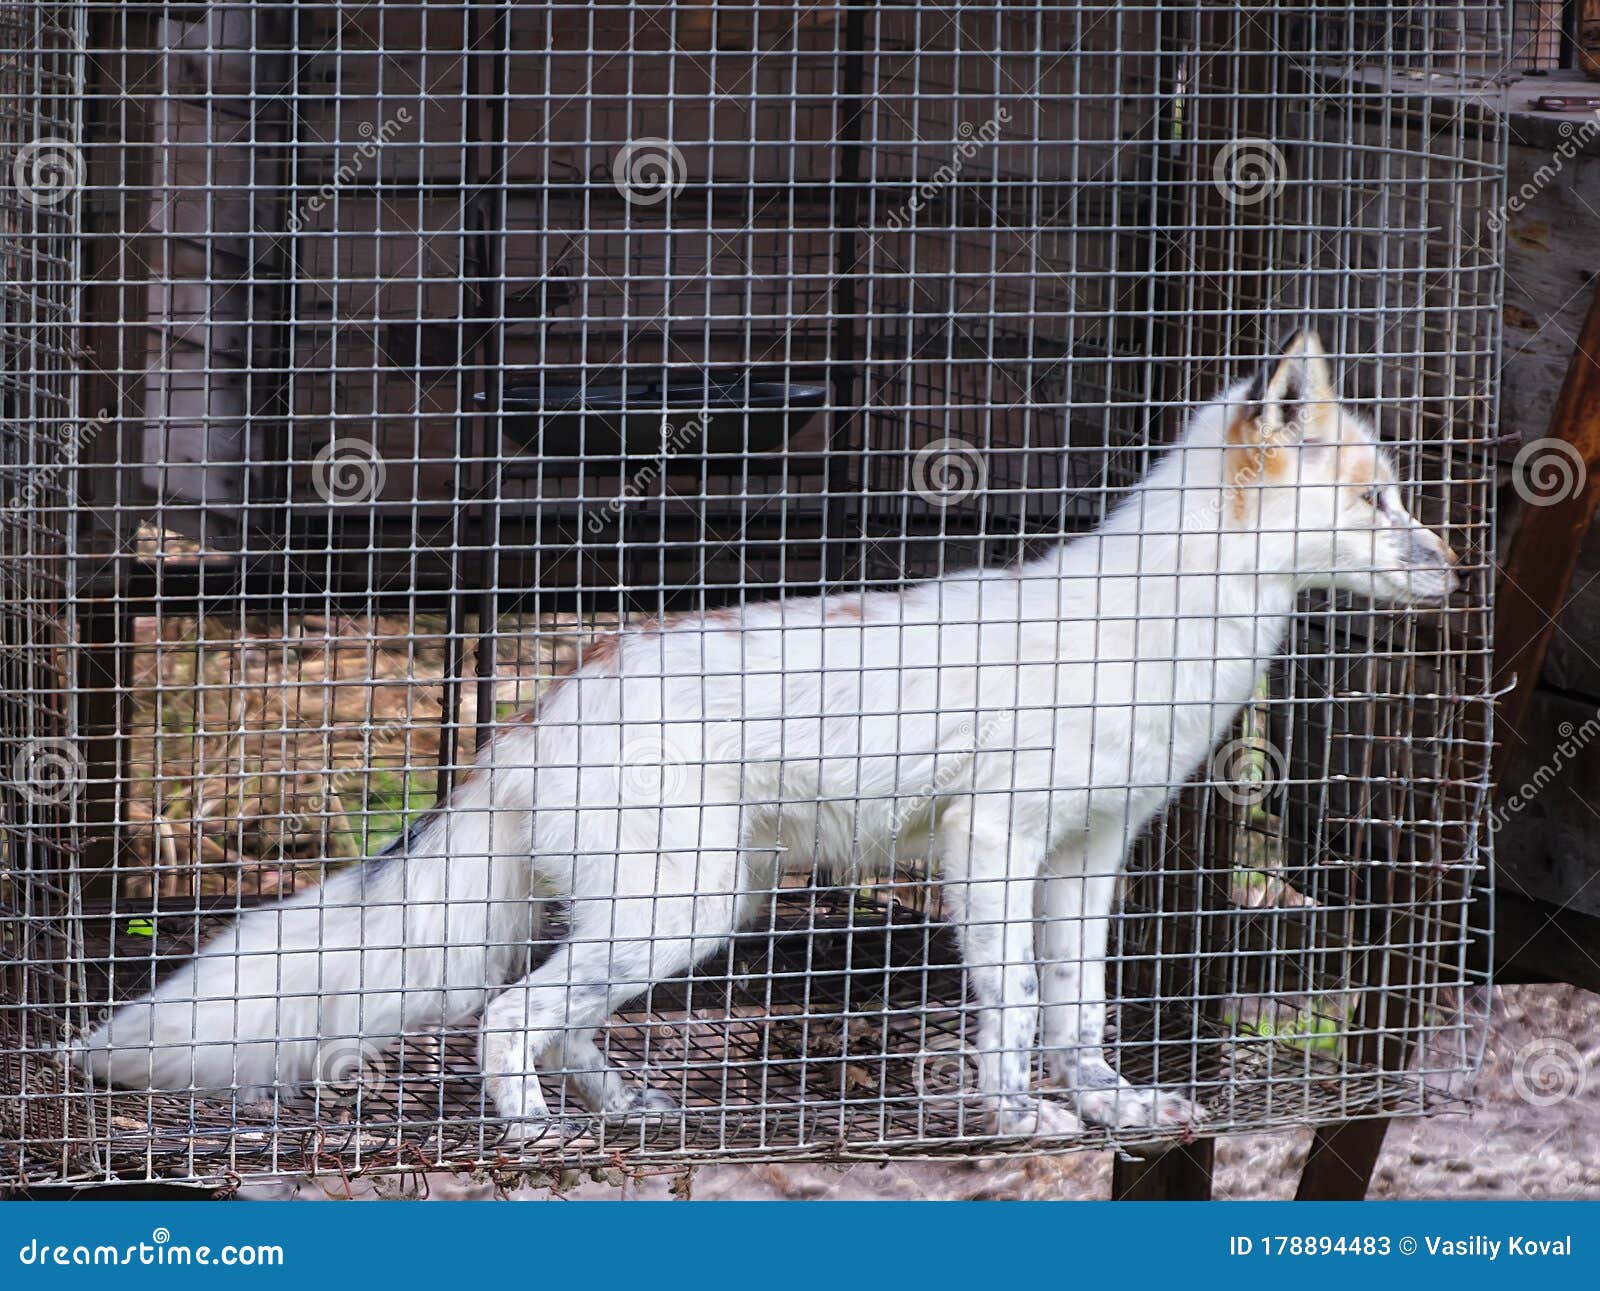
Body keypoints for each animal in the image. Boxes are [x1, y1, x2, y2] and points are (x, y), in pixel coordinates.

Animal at [75, 332, 1459, 1142]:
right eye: (1378, 499)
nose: (1448, 567)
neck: (1154, 626)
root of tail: (537, 712)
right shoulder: (993, 841)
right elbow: (1014, 1005)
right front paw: (1019, 1118)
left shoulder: (1086, 857)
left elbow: (1080, 1009)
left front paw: (1114, 1108)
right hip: (673, 911)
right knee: (509, 1018)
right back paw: (532, 1135)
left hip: (695, 908)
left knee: (563, 1022)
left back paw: (628, 1108)